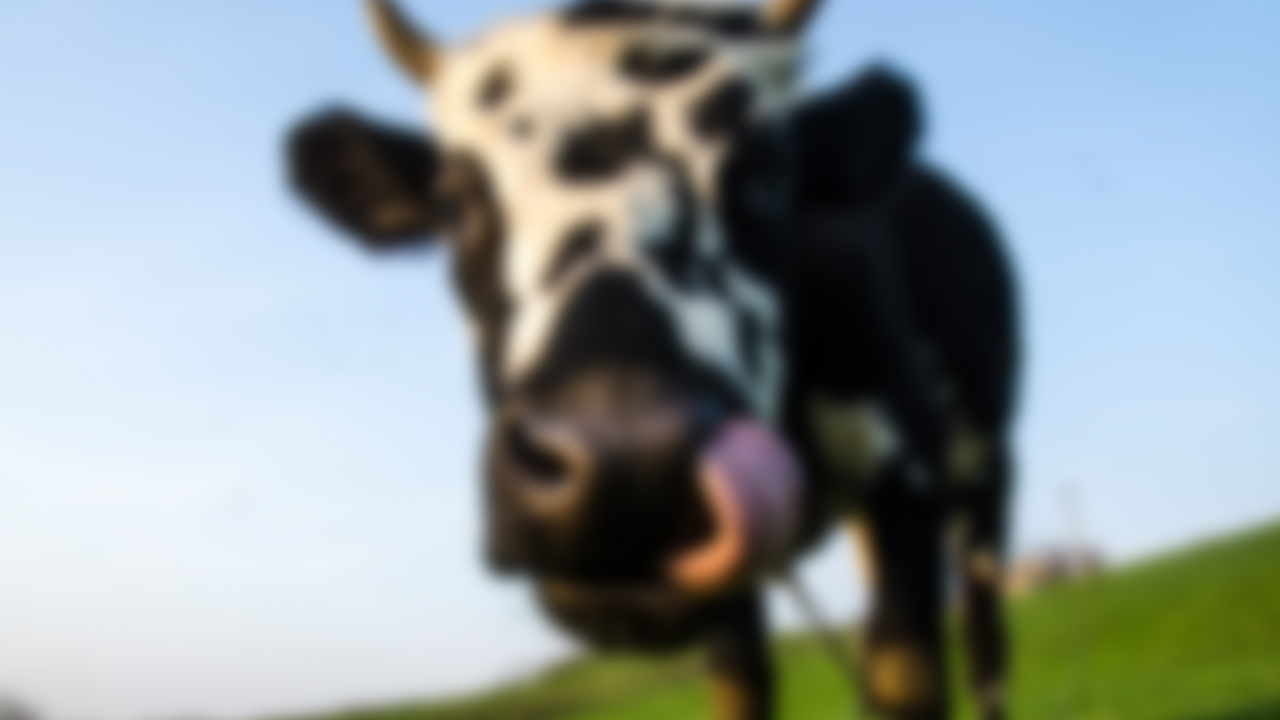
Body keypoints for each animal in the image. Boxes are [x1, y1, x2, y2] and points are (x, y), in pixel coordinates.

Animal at [285, 1, 1019, 719]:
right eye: (452, 203)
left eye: (770, 175)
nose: (626, 464)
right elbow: (738, 685)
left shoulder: (907, 473)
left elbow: (906, 678)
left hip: (986, 467)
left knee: (985, 633)